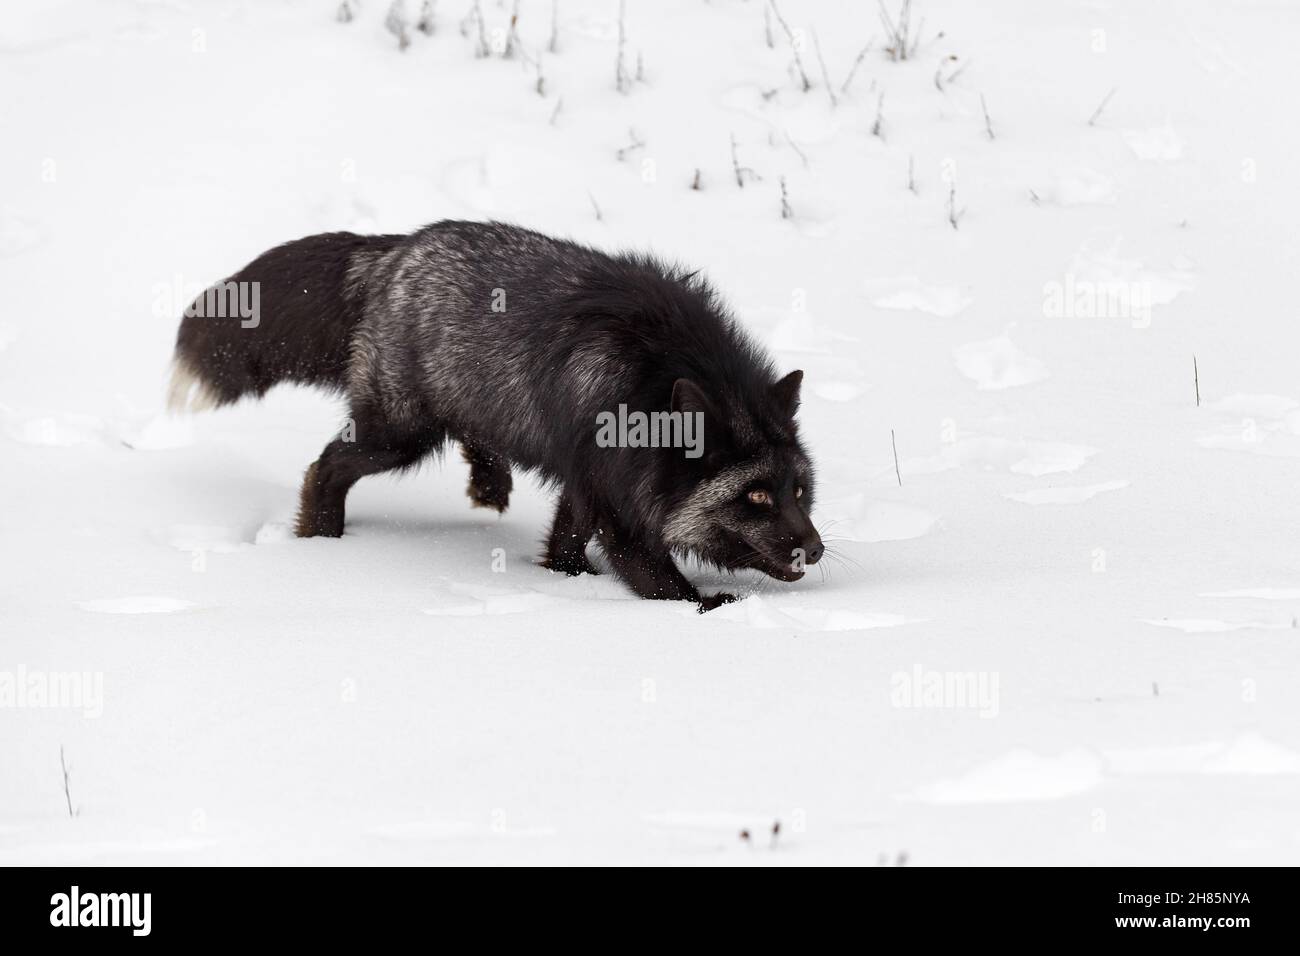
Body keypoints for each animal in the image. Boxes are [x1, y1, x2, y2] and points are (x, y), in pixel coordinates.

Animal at [168, 220, 823, 610]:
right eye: (754, 496)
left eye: (798, 490)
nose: (815, 551)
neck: (650, 378)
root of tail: (398, 247)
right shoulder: (616, 499)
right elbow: (658, 580)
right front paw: (713, 610)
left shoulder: (589, 476)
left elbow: (565, 542)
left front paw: (567, 583)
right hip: (399, 435)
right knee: (324, 466)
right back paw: (322, 538)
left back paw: (489, 482)